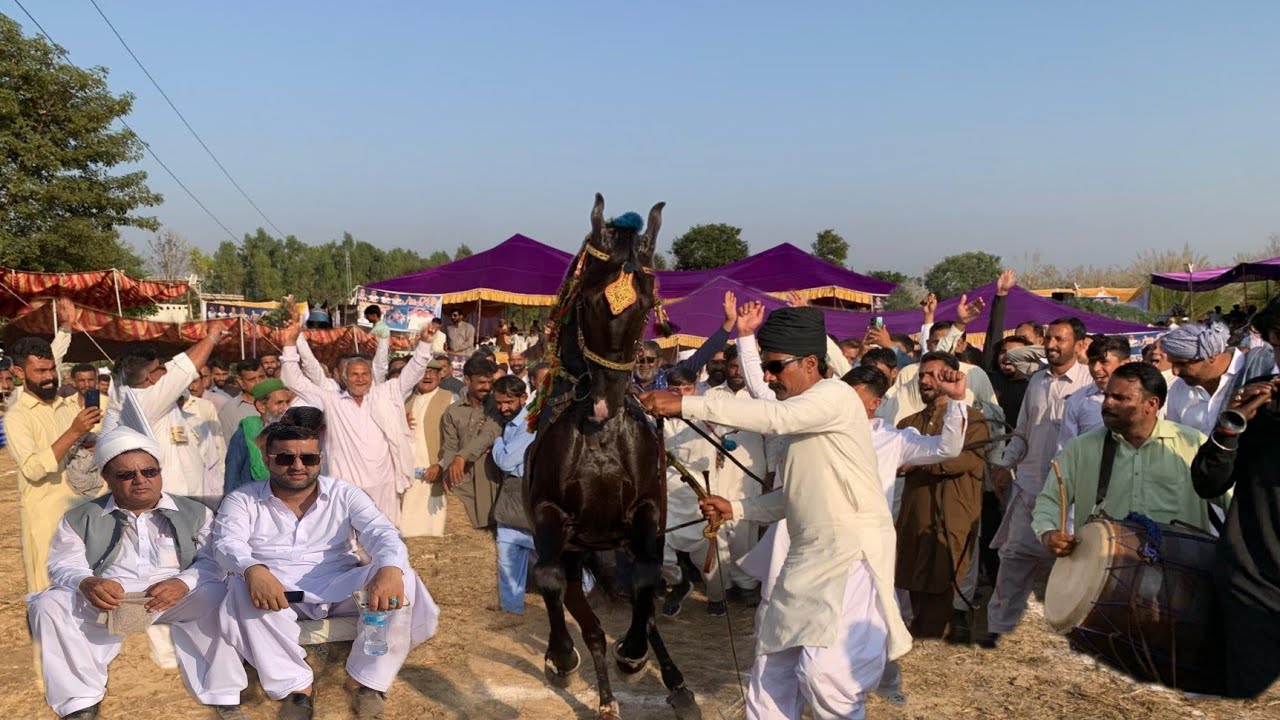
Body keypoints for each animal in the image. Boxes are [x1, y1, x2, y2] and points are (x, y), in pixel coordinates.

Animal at [524, 194, 701, 720]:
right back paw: (603, 693)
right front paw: (561, 658)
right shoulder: (552, 519)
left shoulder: (646, 514)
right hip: (580, 547)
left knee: (639, 596)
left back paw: (669, 678)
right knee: (589, 621)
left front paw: (636, 656)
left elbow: (645, 579)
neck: (600, 437)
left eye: (644, 304)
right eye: (586, 301)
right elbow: (549, 580)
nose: (607, 400)